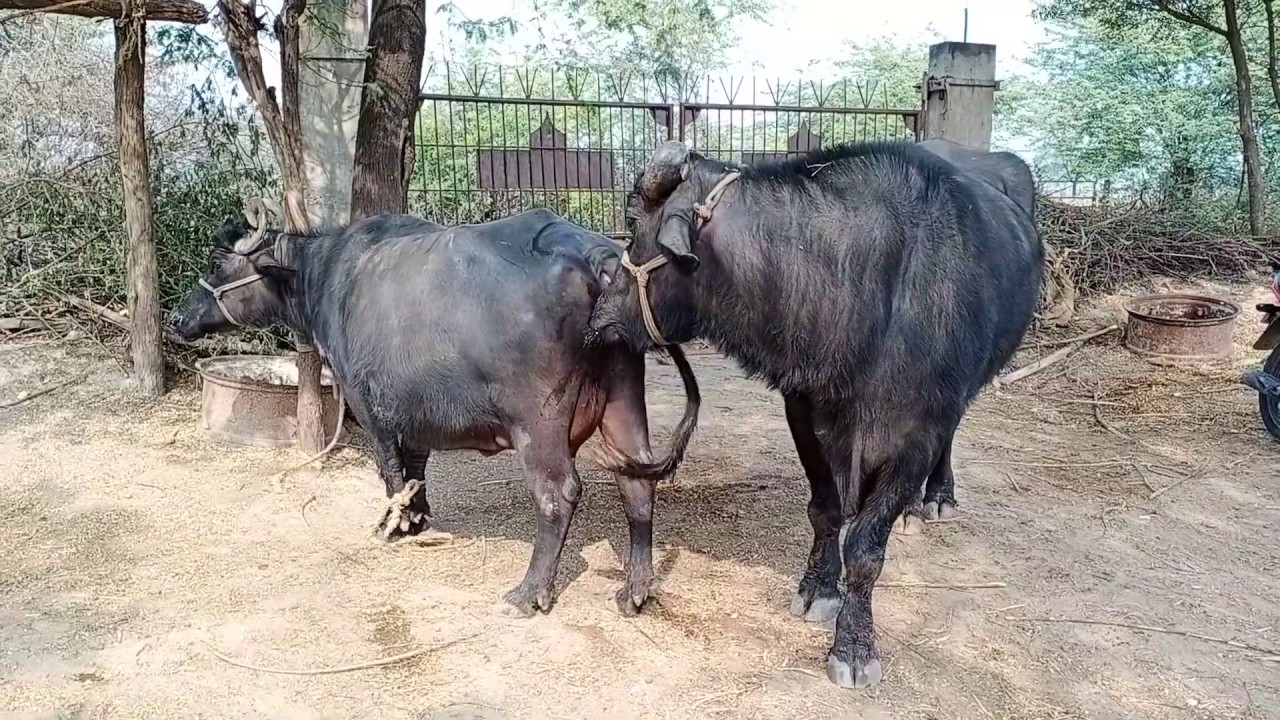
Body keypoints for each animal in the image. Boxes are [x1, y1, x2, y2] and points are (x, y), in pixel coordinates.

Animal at [169, 206, 698, 617]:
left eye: (216, 261)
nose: (177, 318)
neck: (326, 278)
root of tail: (595, 256)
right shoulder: (416, 412)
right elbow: (416, 468)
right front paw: (419, 518)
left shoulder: (369, 406)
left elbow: (391, 471)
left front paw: (394, 525)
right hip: (624, 398)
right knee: (637, 483)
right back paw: (635, 590)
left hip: (538, 422)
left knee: (558, 494)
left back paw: (528, 593)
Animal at [587, 139, 1044, 688]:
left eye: (634, 225)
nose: (599, 315)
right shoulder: (804, 409)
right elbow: (825, 511)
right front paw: (819, 590)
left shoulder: (917, 431)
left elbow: (866, 548)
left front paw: (854, 647)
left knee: (952, 434)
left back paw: (935, 497)